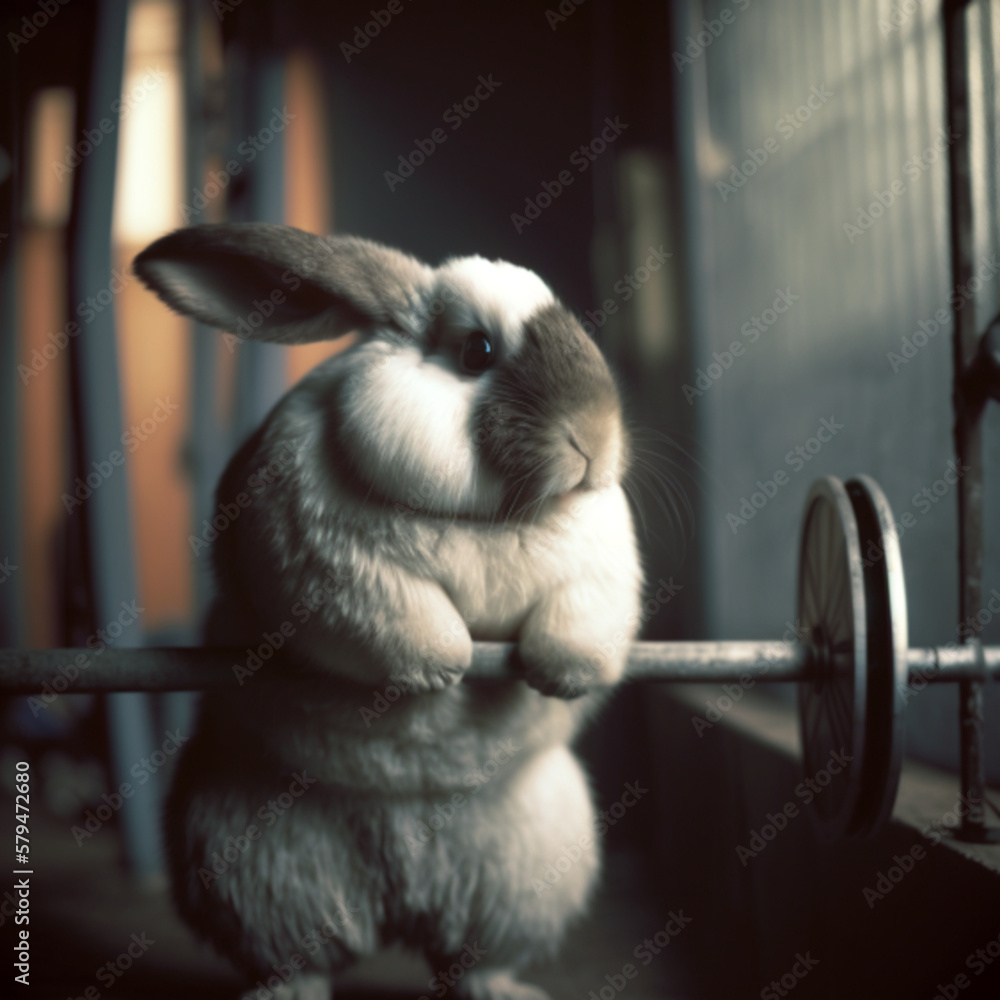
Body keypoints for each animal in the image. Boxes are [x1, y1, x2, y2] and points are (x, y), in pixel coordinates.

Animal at [134, 223, 644, 1000]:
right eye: (477, 351)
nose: (595, 439)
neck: (484, 519)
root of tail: (404, 886)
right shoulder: (335, 569)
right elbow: (407, 622)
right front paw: (441, 672)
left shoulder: (596, 576)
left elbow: (577, 627)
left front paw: (560, 676)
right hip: (248, 864)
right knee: (297, 958)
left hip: (528, 872)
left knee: (474, 957)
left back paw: (499, 988)